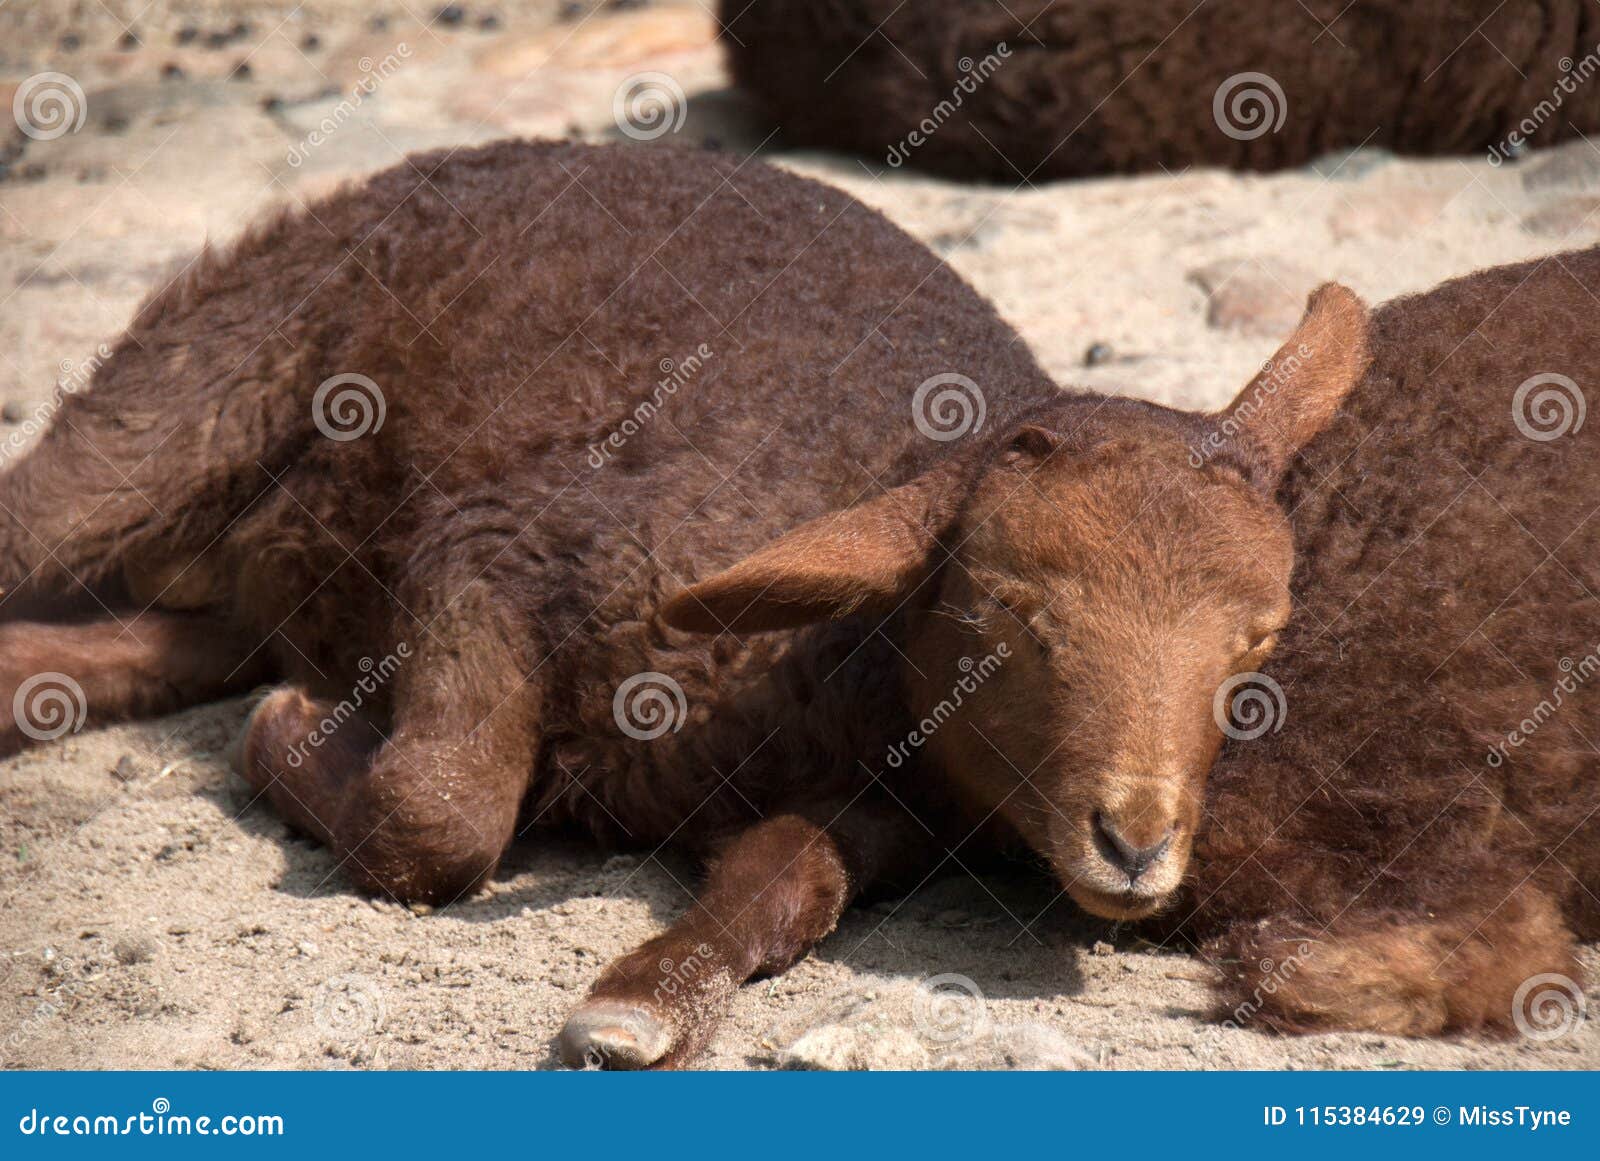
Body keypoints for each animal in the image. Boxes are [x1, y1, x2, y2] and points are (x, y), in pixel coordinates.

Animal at [3, 140, 1595, 1069]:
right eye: (1011, 616)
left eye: (1257, 645)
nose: (1137, 844)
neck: (832, 663)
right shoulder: (501, 548)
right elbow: (436, 816)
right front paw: (299, 743)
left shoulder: (878, 806)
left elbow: (787, 887)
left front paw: (643, 999)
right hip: (216, 361)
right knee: (68, 507)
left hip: (267, 543)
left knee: (171, 632)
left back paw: (46, 680)